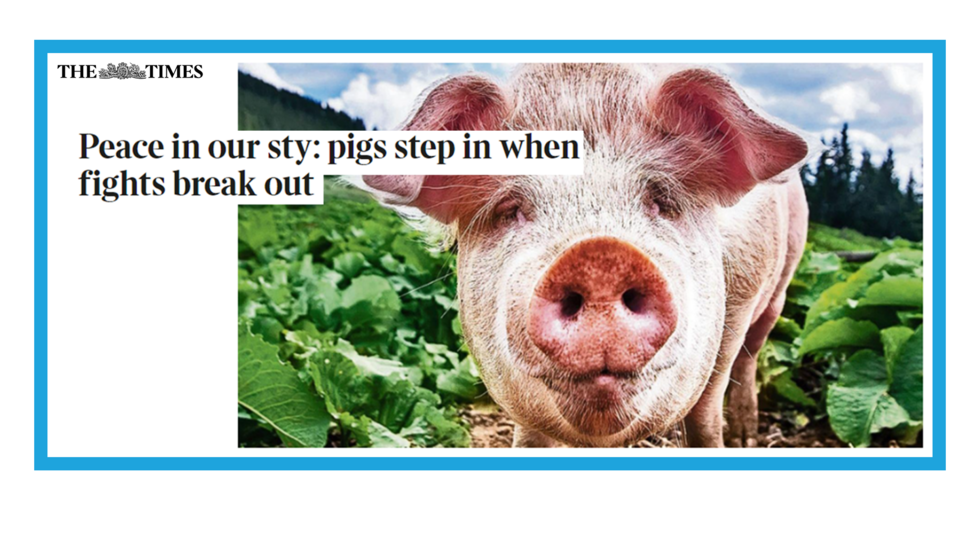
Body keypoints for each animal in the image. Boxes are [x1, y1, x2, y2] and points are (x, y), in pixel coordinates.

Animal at [361, 64, 810, 447]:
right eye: (511, 208)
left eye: (662, 200)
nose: (599, 256)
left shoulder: (739, 302)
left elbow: (705, 412)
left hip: (780, 285)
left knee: (753, 352)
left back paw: (746, 437)